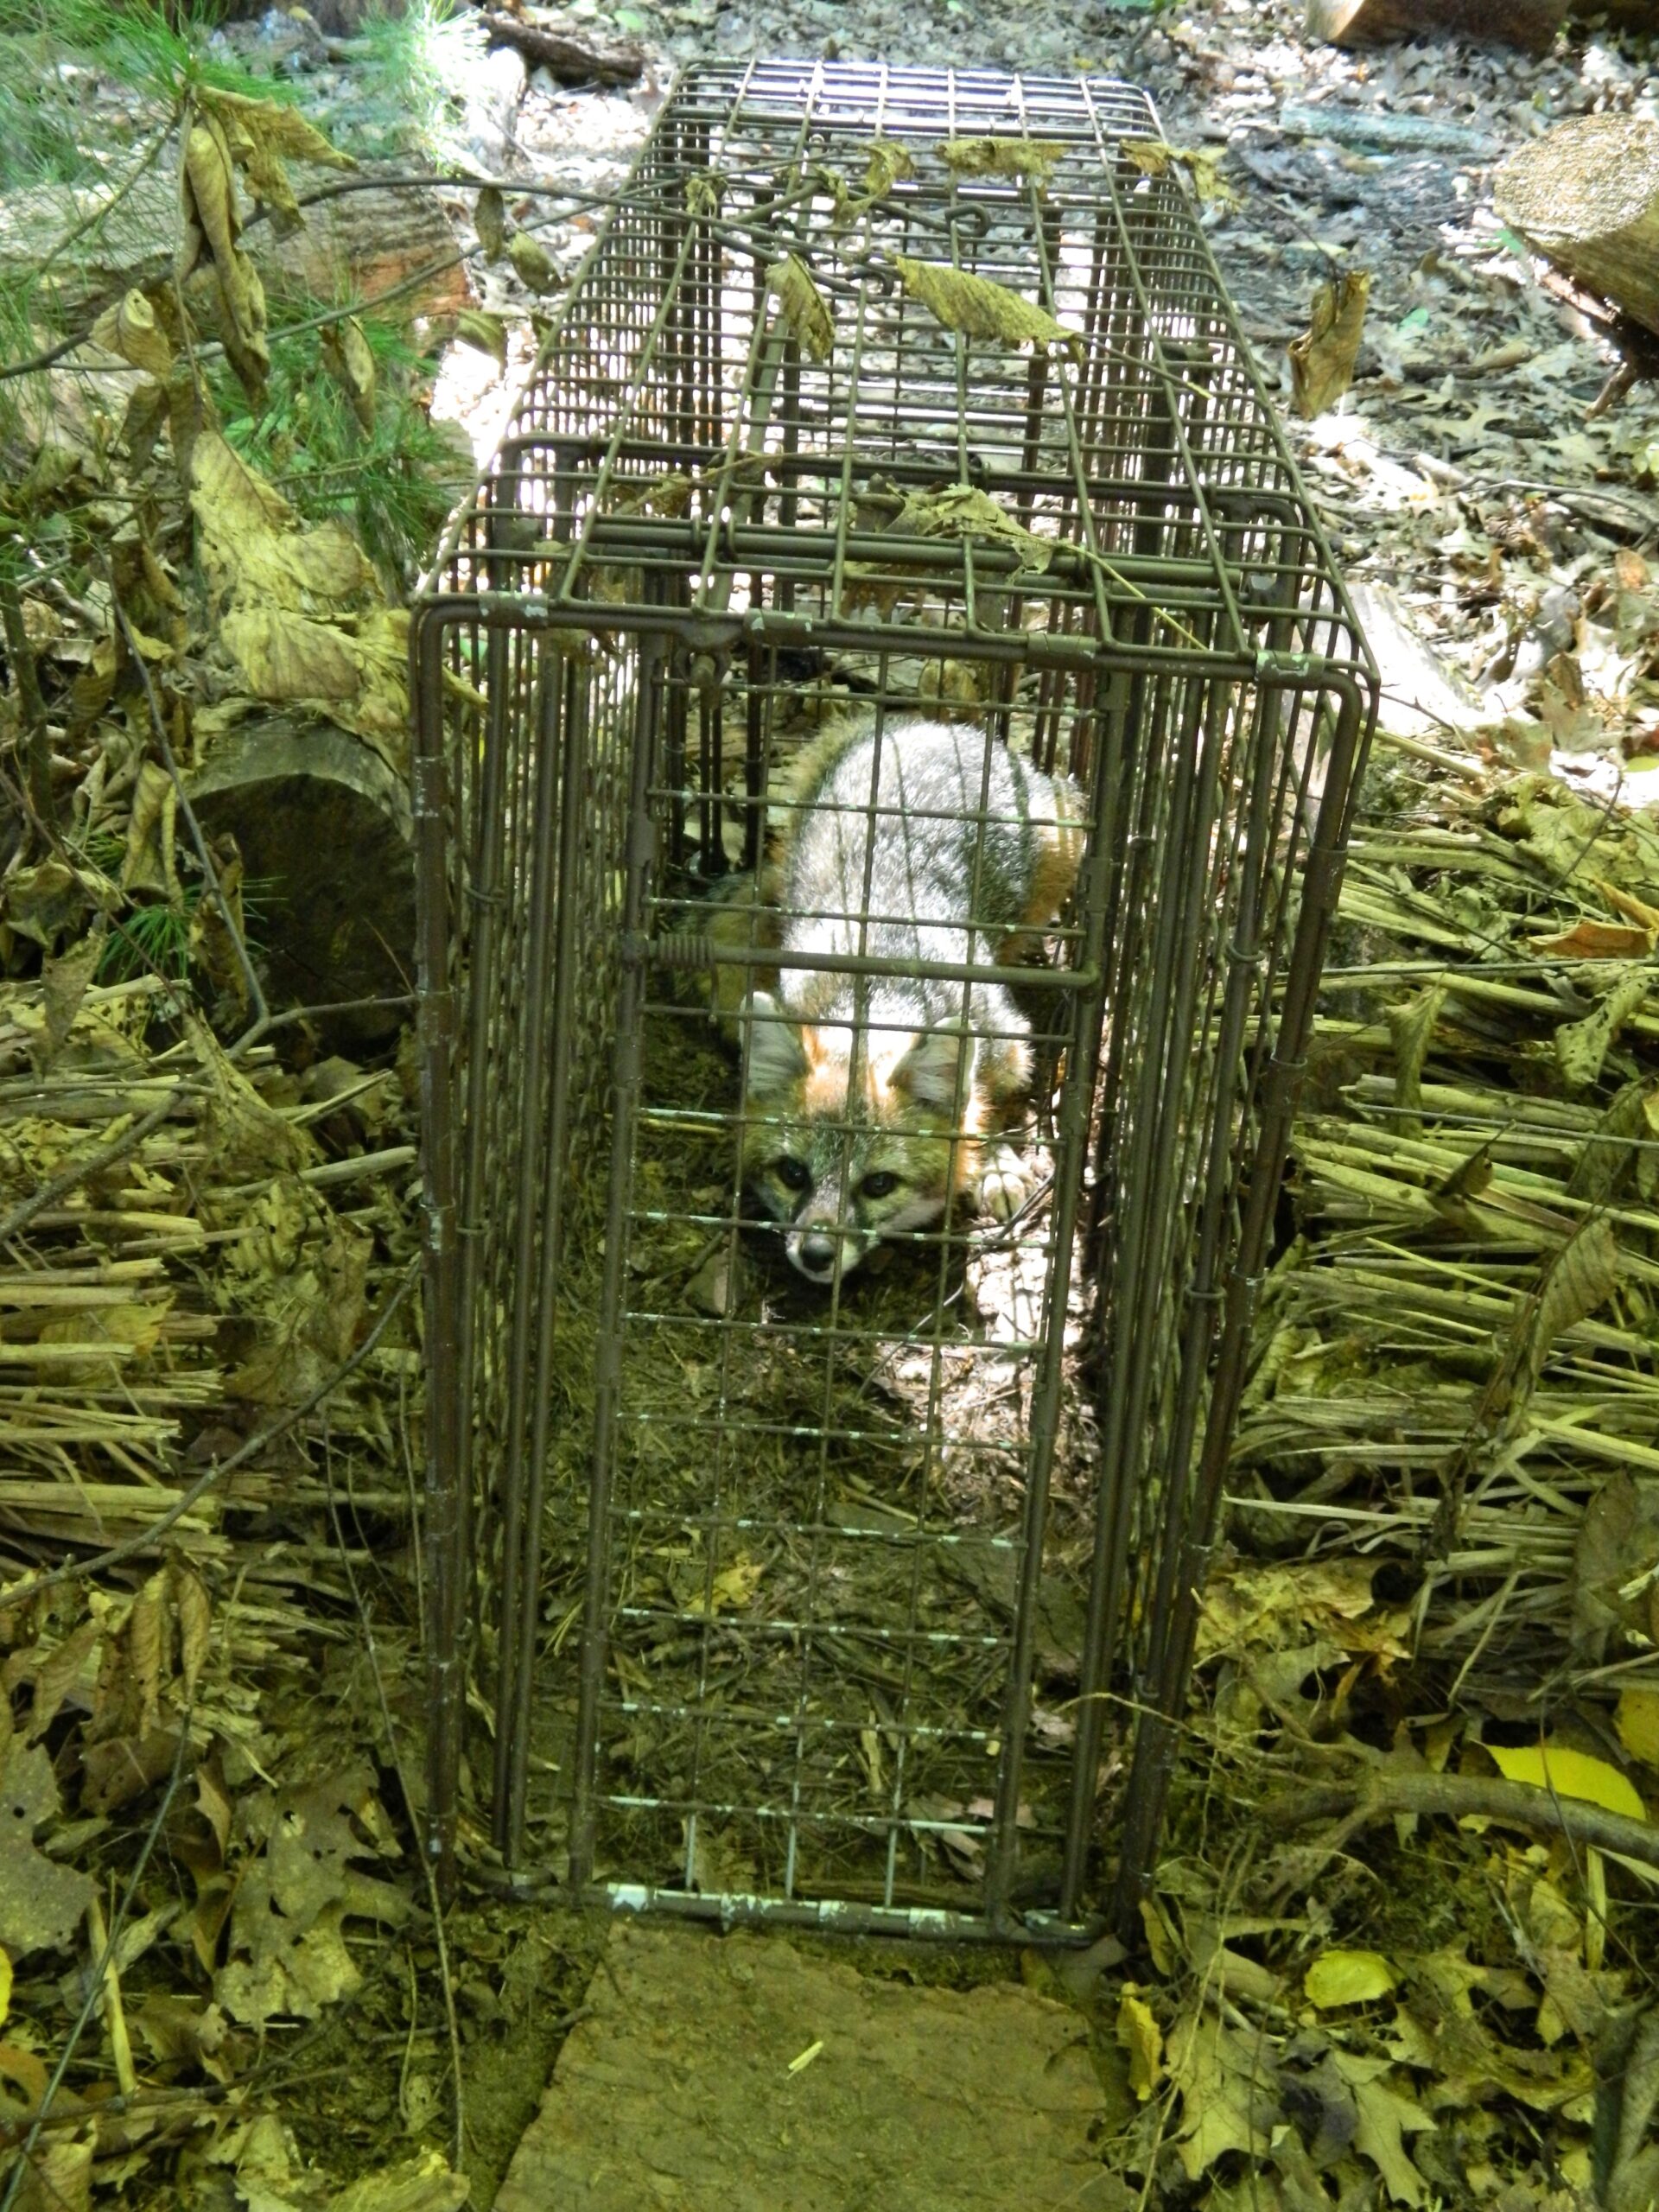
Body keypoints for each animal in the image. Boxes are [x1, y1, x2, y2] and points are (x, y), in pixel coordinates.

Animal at [737, 717, 1084, 1285]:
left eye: (878, 1184)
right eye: (793, 1173)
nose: (816, 1254)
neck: (874, 995)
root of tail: (941, 726)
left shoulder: (1008, 1042)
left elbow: (987, 1103)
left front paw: (994, 1160)